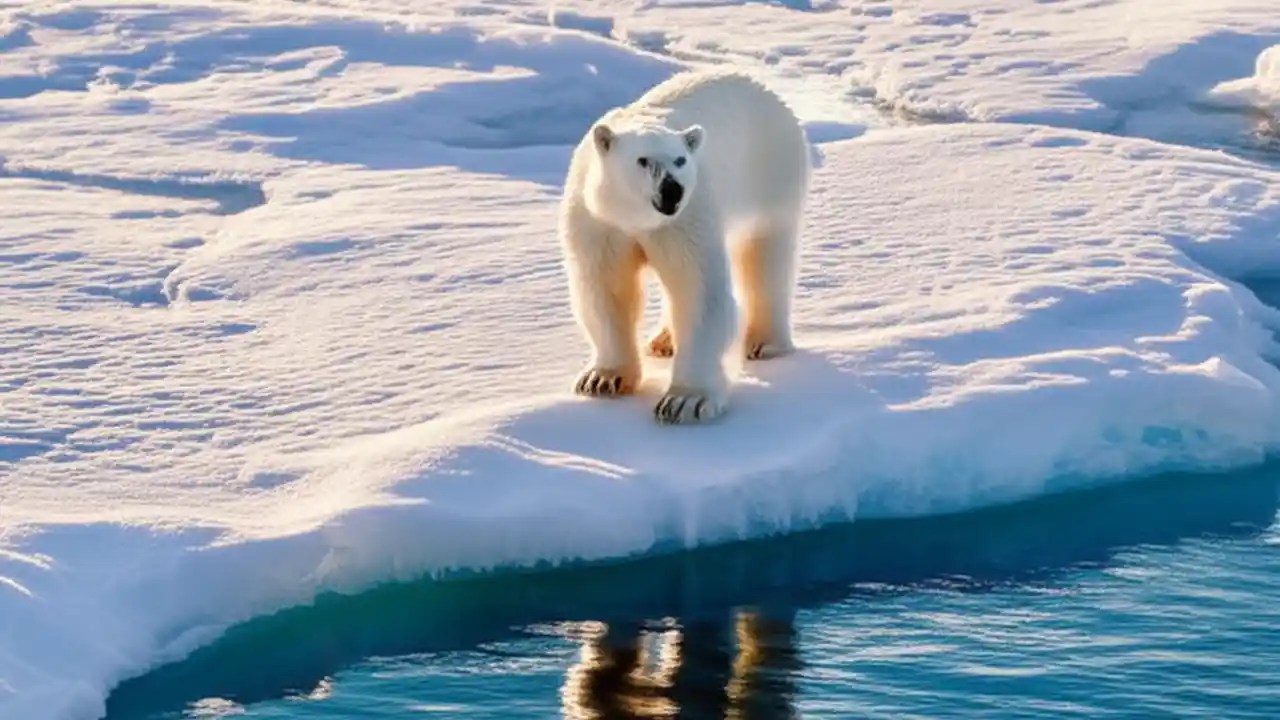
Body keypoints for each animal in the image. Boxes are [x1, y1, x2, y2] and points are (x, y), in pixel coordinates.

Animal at [559, 70, 810, 424]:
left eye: (680, 160)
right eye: (643, 161)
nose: (672, 190)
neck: (635, 218)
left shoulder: (687, 217)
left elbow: (699, 289)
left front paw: (685, 401)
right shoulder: (598, 221)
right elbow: (606, 289)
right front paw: (602, 379)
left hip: (771, 171)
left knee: (765, 255)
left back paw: (765, 343)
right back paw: (663, 341)